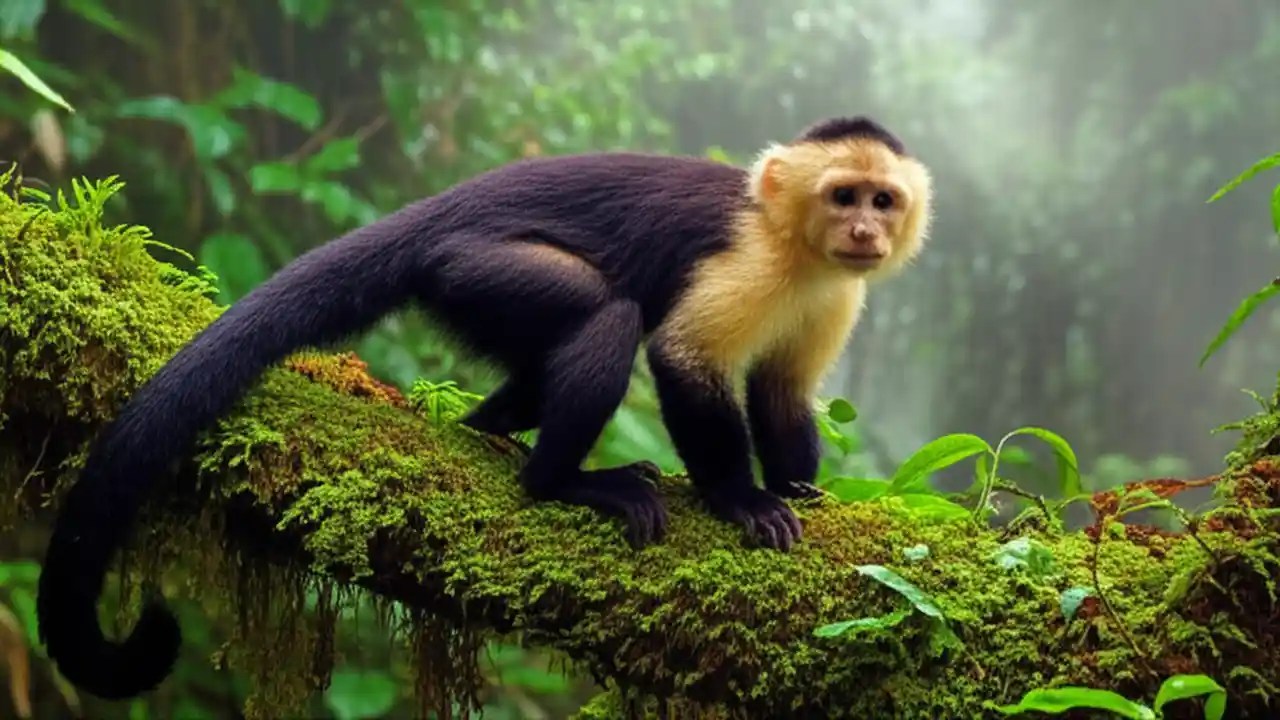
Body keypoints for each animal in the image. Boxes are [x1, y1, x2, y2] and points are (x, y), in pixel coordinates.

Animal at [34, 115, 933, 700]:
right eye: (844, 194)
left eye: (882, 201)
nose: (864, 231)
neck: (793, 244)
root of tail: (447, 205)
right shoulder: (743, 257)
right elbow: (684, 359)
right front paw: (742, 501)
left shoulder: (835, 291)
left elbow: (783, 395)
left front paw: (801, 494)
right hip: (474, 265)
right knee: (608, 313)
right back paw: (561, 481)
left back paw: (490, 430)